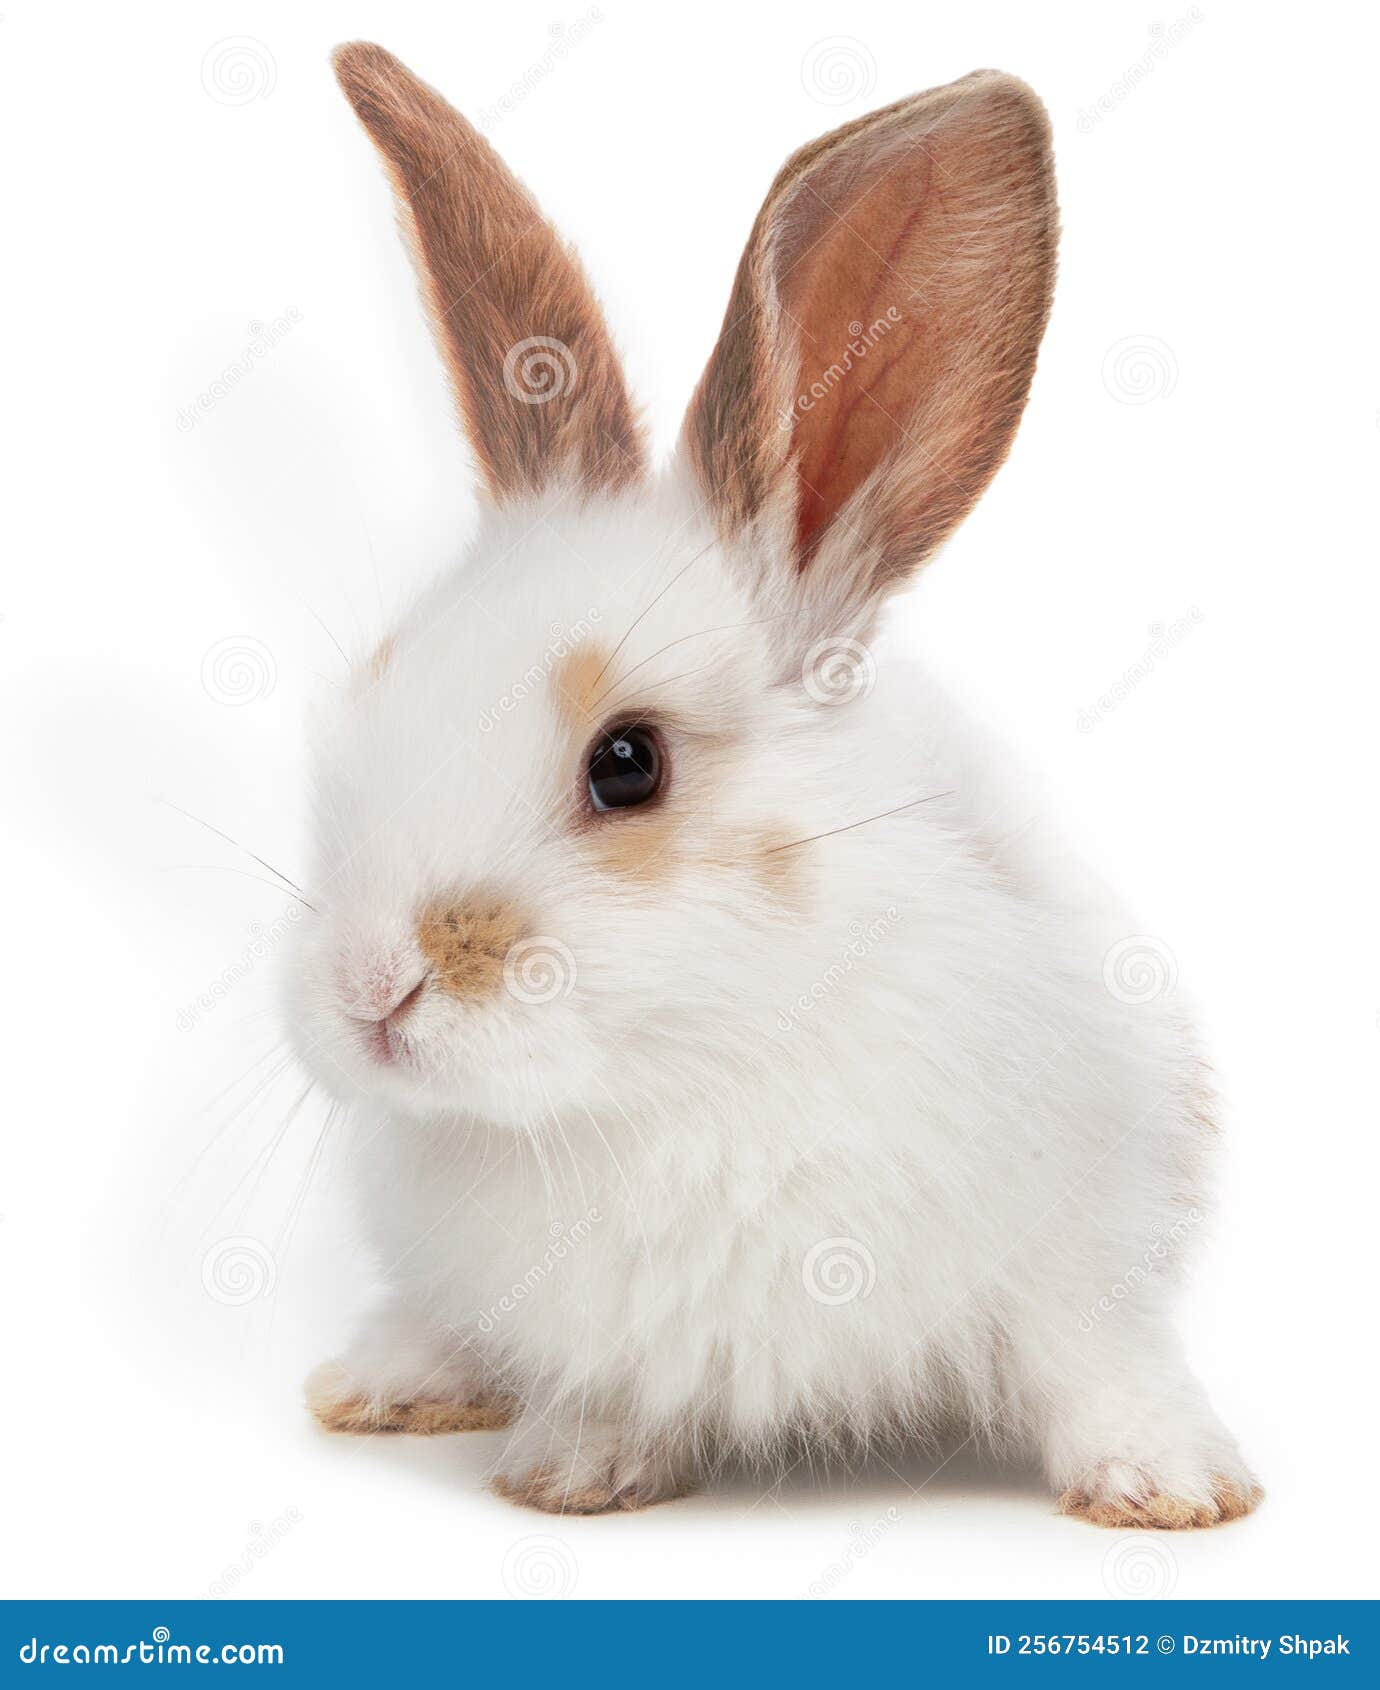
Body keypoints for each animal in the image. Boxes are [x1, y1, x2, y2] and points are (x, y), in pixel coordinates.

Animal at [290, 41, 1261, 1526]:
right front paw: (579, 1464)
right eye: (372, 694)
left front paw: (1171, 1486)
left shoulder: (1080, 1241)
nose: (367, 990)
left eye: (628, 763)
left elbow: (1097, 1356)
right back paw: (389, 1379)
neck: (701, 1059)